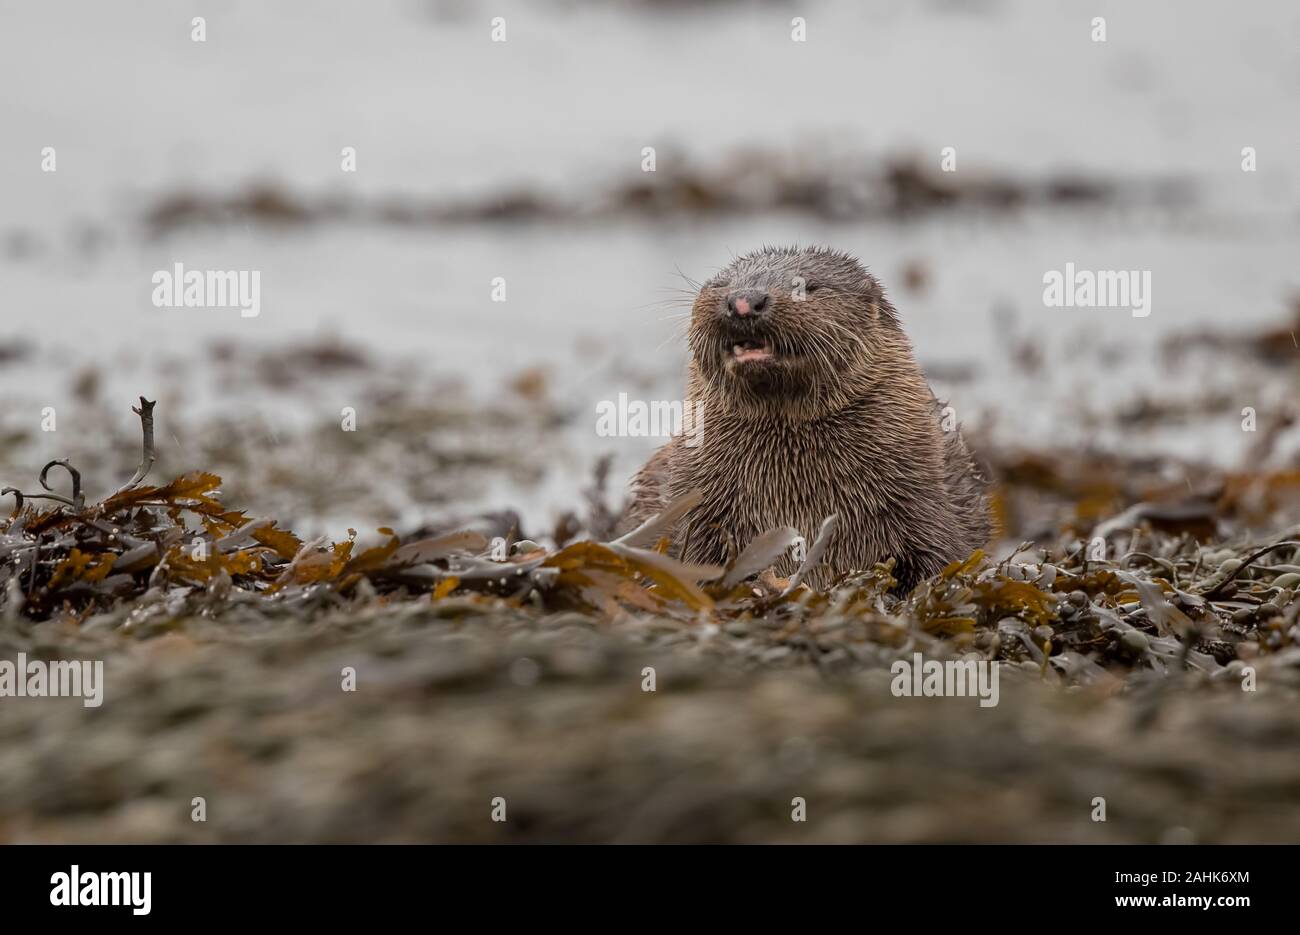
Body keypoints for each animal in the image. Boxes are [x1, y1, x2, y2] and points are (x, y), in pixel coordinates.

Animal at [626, 246, 991, 591]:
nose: (744, 301)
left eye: (807, 286)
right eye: (720, 284)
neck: (796, 492)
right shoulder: (697, 509)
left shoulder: (926, 502)